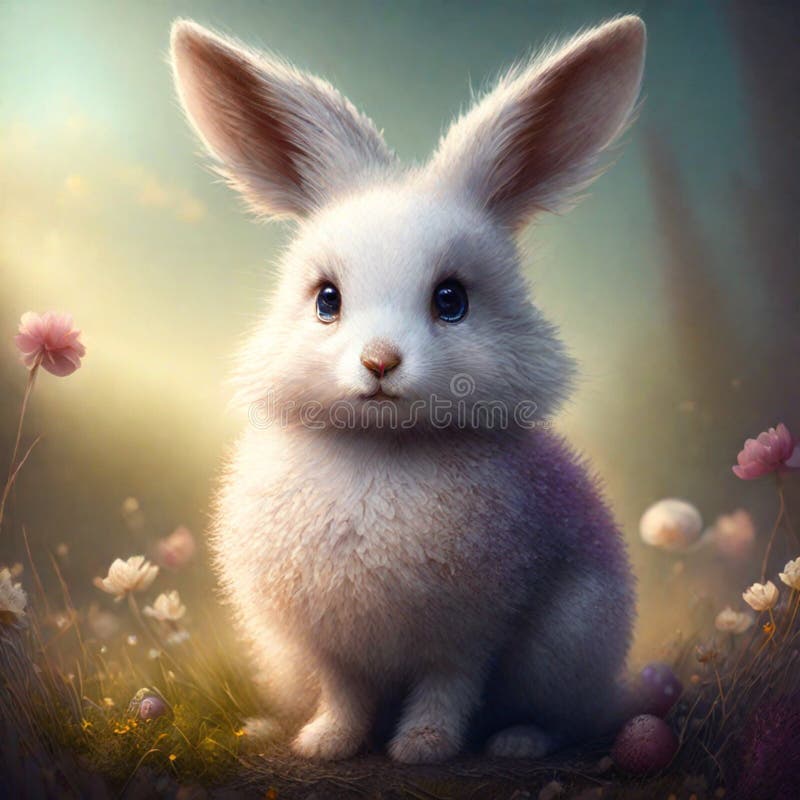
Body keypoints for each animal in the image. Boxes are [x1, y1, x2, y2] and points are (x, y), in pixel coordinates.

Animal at [170, 14, 647, 764]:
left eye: (451, 300)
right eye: (327, 300)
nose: (379, 361)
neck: (384, 449)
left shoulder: (466, 635)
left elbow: (445, 689)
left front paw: (423, 747)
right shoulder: (329, 642)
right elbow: (344, 693)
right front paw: (326, 744)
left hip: (567, 649)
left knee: (563, 716)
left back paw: (518, 742)